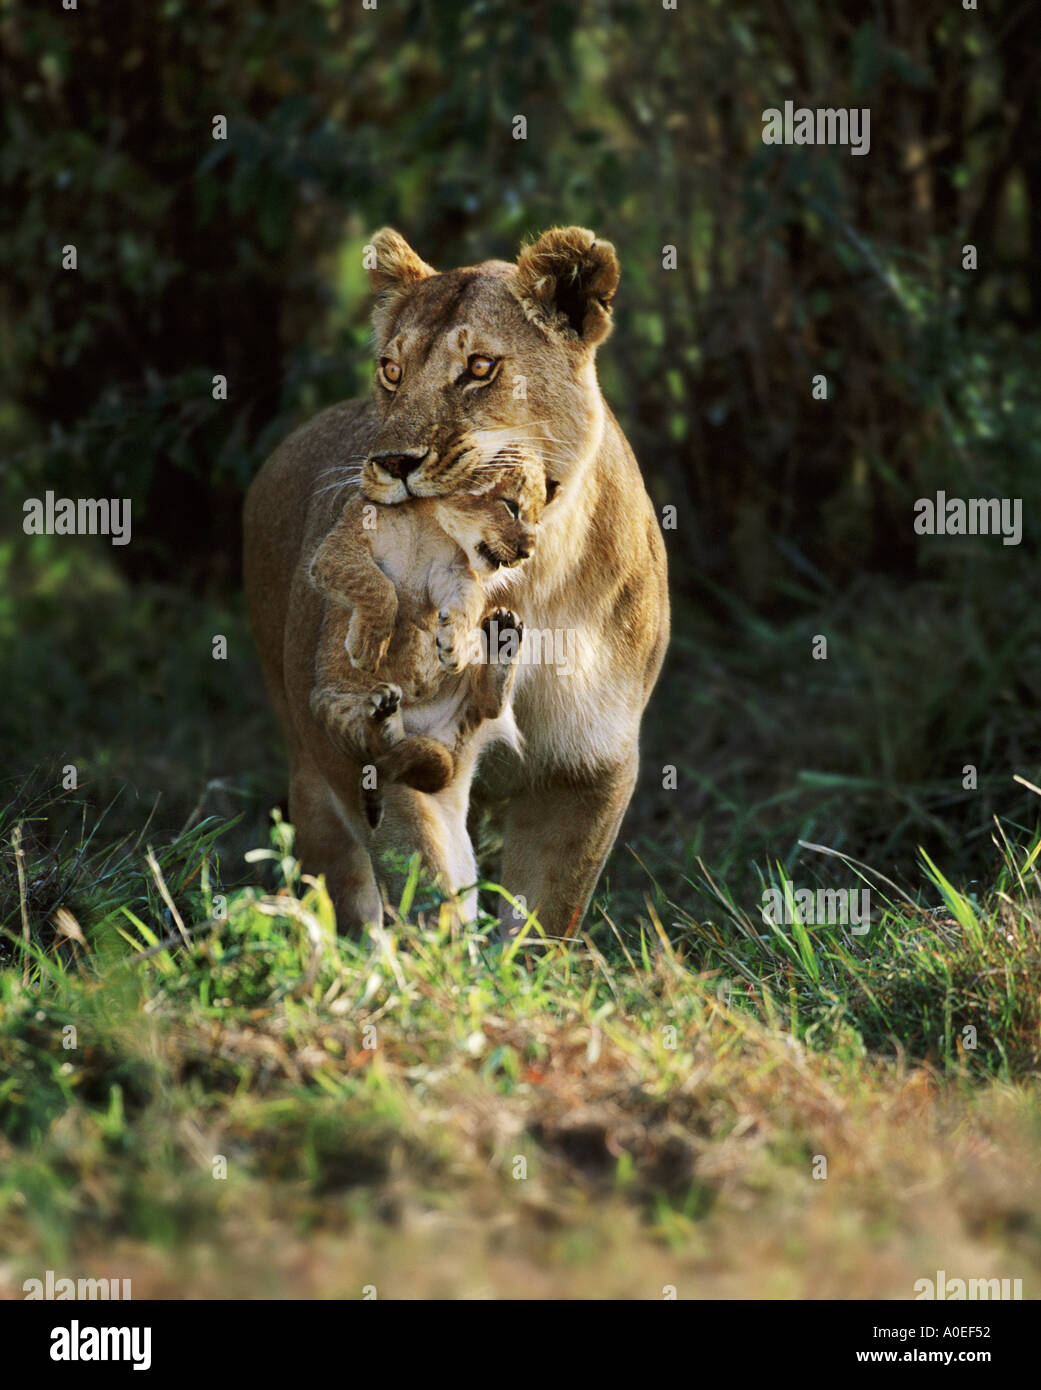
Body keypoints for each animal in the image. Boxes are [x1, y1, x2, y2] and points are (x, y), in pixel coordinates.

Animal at [307, 450, 547, 829]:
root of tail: (438, 739)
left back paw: (502, 637)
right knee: (376, 747)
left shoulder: (452, 570)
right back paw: (384, 713)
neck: (423, 518)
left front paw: (452, 644)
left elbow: (466, 602)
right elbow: (377, 585)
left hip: (468, 695)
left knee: (489, 704)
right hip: (329, 702)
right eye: (512, 506)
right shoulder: (339, 548)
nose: (527, 552)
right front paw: (368, 646)